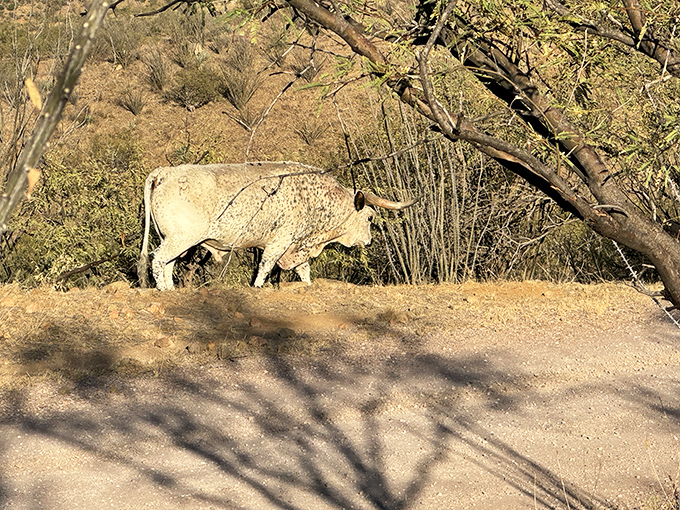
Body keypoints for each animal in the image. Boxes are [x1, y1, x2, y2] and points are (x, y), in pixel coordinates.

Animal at [137, 161, 416, 290]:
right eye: (370, 218)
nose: (368, 241)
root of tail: (165, 172)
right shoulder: (281, 240)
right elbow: (265, 266)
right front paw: (257, 287)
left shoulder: (297, 246)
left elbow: (304, 271)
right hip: (180, 238)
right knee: (158, 260)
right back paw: (163, 290)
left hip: (178, 241)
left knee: (168, 265)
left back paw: (171, 290)